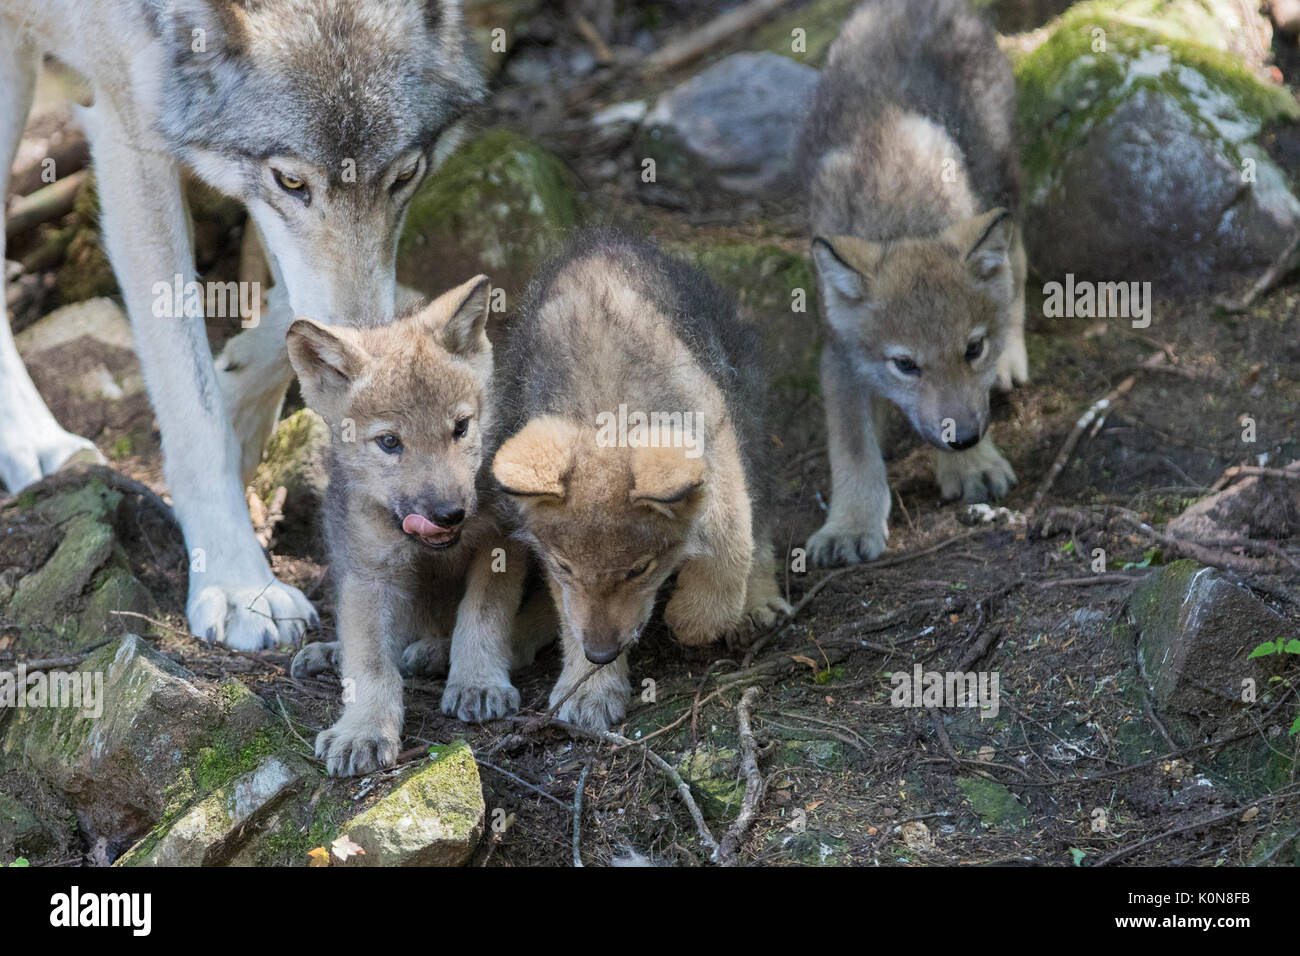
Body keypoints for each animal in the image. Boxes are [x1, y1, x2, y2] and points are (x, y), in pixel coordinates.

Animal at [0, 0, 483, 649]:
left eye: (404, 176)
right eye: (292, 181)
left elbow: (297, 319)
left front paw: (244, 404)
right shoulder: (129, 127)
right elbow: (194, 411)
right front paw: (237, 583)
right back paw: (36, 441)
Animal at [286, 276, 552, 776]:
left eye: (461, 427)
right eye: (390, 442)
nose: (449, 513)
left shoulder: (498, 545)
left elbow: (482, 616)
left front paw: (477, 682)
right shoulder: (368, 573)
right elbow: (371, 661)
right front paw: (364, 729)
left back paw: (435, 653)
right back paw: (336, 651)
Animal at [488, 230, 791, 731]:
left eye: (639, 570)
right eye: (564, 567)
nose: (600, 654)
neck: (603, 400)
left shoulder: (714, 445)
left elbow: (728, 547)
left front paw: (692, 618)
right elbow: (570, 615)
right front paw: (589, 688)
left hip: (747, 417)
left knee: (761, 516)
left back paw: (758, 601)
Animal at [800, 0, 1027, 567]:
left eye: (973, 349)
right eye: (905, 365)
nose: (965, 440)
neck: (899, 212)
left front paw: (971, 468)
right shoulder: (839, 357)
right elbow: (853, 447)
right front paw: (849, 526)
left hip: (1004, 183)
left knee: (1018, 263)